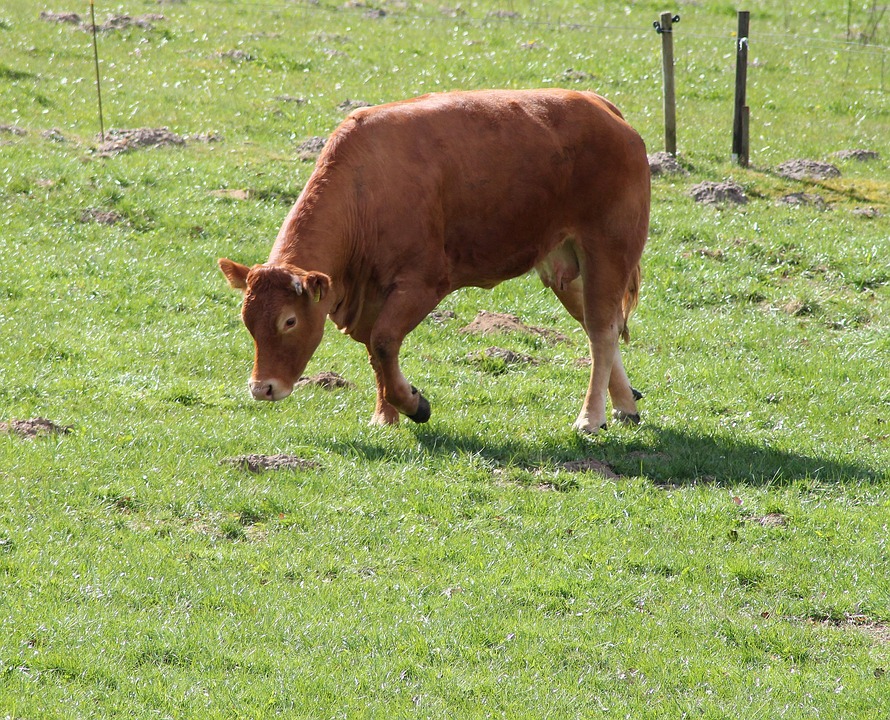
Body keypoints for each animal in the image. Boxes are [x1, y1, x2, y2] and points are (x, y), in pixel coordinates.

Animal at [219, 88, 650, 433]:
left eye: (289, 321)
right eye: (247, 322)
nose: (262, 388)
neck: (365, 190)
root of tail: (601, 106)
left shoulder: (422, 284)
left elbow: (383, 342)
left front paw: (413, 404)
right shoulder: (371, 295)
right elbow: (376, 352)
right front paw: (385, 416)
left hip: (607, 250)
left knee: (601, 331)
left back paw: (590, 417)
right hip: (565, 266)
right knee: (601, 326)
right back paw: (624, 404)